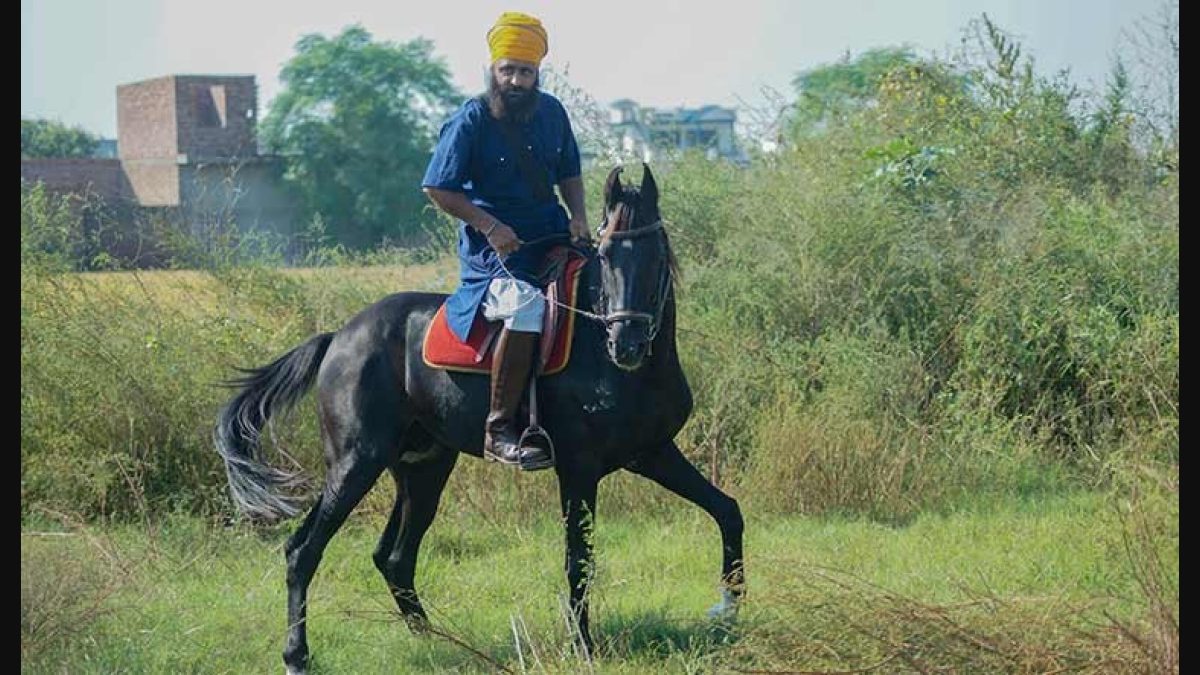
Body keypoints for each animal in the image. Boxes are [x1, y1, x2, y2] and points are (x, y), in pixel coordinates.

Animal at [213, 164, 745, 674]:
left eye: (656, 257)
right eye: (607, 258)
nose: (627, 345)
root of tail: (339, 338)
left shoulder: (651, 453)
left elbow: (727, 510)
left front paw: (729, 608)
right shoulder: (579, 468)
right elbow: (578, 559)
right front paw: (582, 645)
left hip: (423, 468)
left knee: (395, 556)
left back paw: (439, 641)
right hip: (355, 463)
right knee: (304, 552)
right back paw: (296, 655)